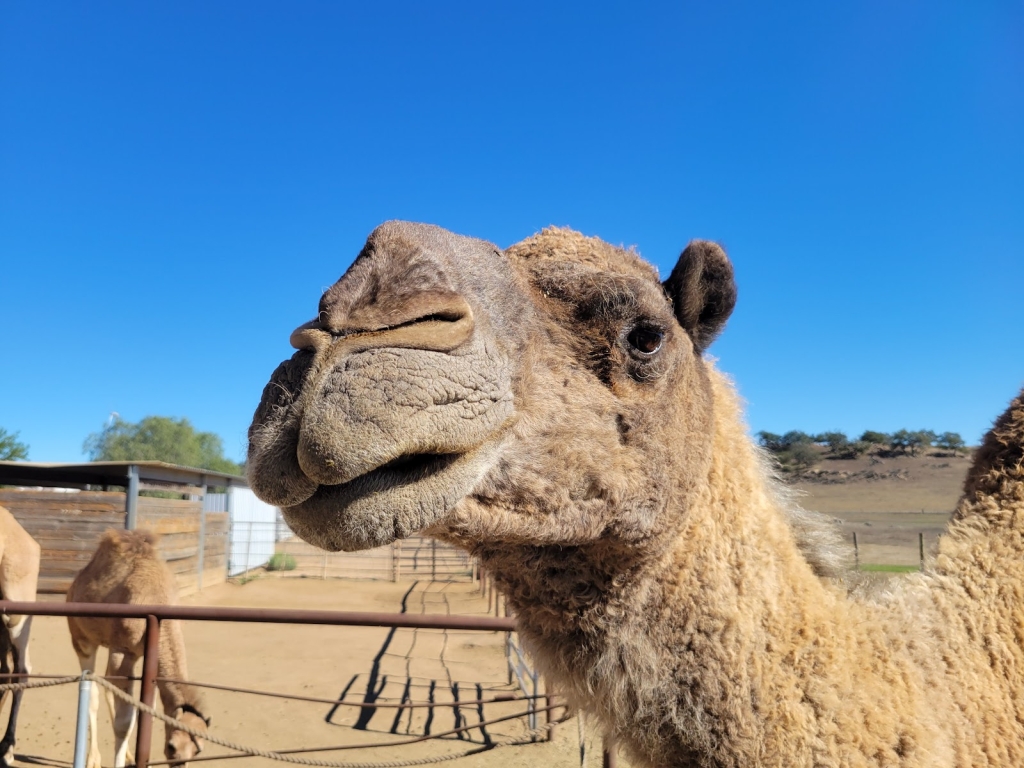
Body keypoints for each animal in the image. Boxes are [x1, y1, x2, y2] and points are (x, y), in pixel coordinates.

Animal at [67, 529, 210, 768]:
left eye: (197, 751)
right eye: (171, 746)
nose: (178, 765)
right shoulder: (123, 650)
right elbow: (124, 722)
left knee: (107, 687)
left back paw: (127, 756)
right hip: (82, 638)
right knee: (93, 690)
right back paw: (93, 759)